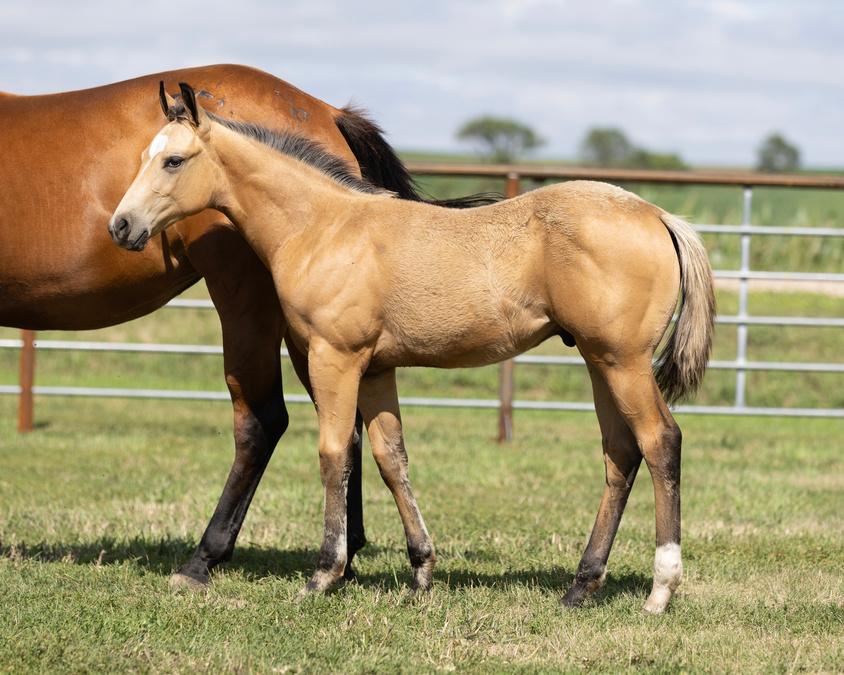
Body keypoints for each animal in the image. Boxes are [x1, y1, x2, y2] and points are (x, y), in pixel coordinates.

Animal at [0, 64, 493, 591]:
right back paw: (348, 557)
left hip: (256, 310)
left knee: (265, 421)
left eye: (173, 161)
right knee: (349, 427)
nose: (121, 226)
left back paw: (206, 559)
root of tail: (329, 112)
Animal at [110, 82, 715, 614]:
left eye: (173, 161)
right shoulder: (378, 370)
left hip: (623, 362)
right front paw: (422, 571)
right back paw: (580, 586)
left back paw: (660, 592)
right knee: (621, 453)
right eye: (142, 156)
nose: (121, 226)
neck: (324, 227)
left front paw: (324, 575)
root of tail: (658, 215)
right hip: (598, 361)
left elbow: (334, 454)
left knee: (660, 442)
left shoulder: (335, 358)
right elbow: (390, 457)